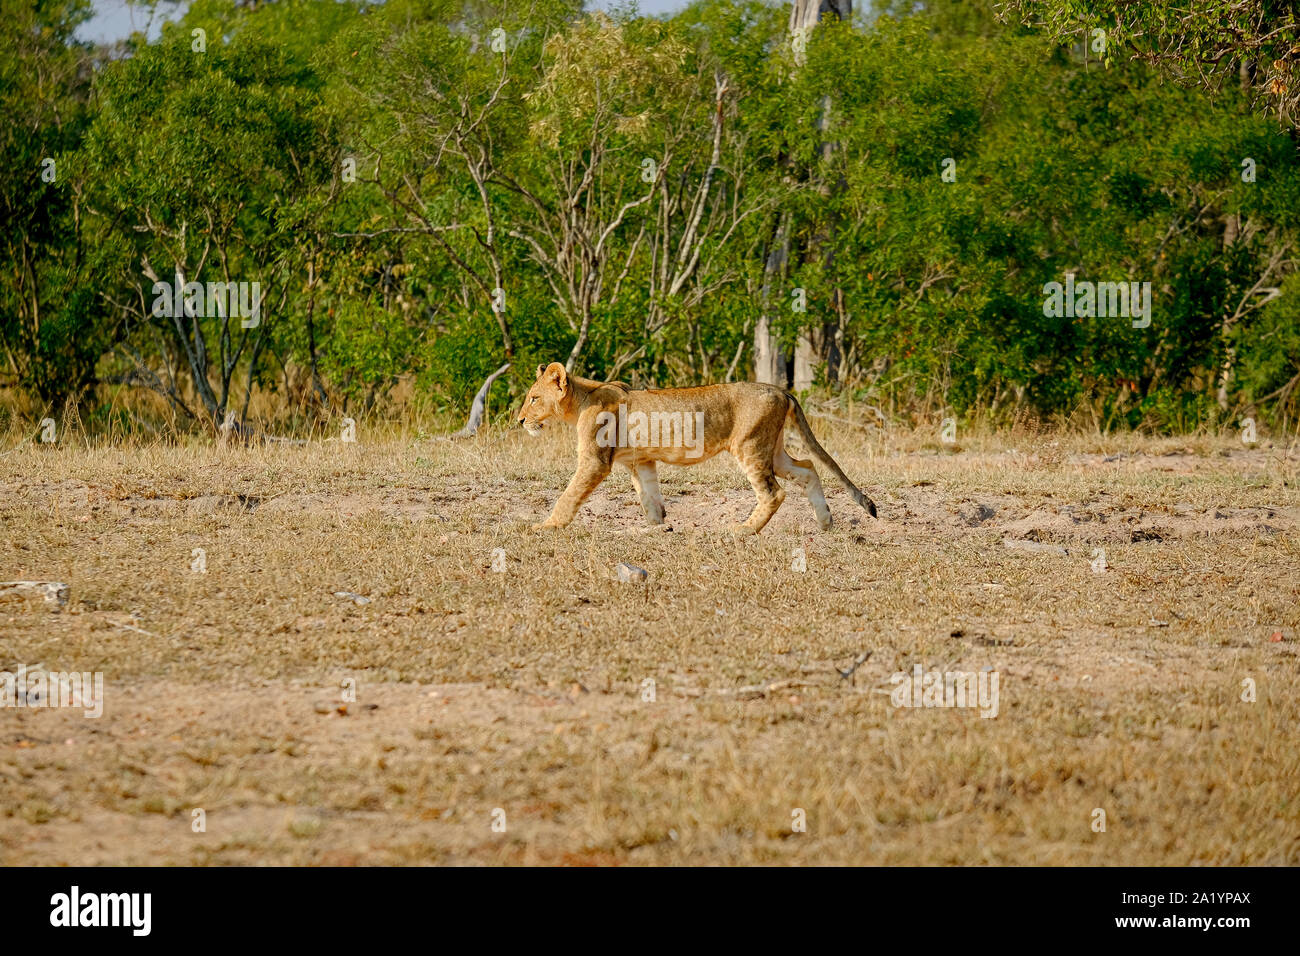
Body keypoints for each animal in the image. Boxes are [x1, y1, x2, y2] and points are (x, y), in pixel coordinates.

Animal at [518, 363, 878, 534]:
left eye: (533, 398)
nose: (520, 420)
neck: (581, 400)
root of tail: (781, 390)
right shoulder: (641, 461)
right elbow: (650, 498)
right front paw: (657, 528)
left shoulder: (595, 460)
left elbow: (568, 496)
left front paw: (546, 526)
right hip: (772, 449)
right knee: (808, 468)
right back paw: (825, 522)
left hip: (750, 446)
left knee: (774, 493)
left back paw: (744, 530)